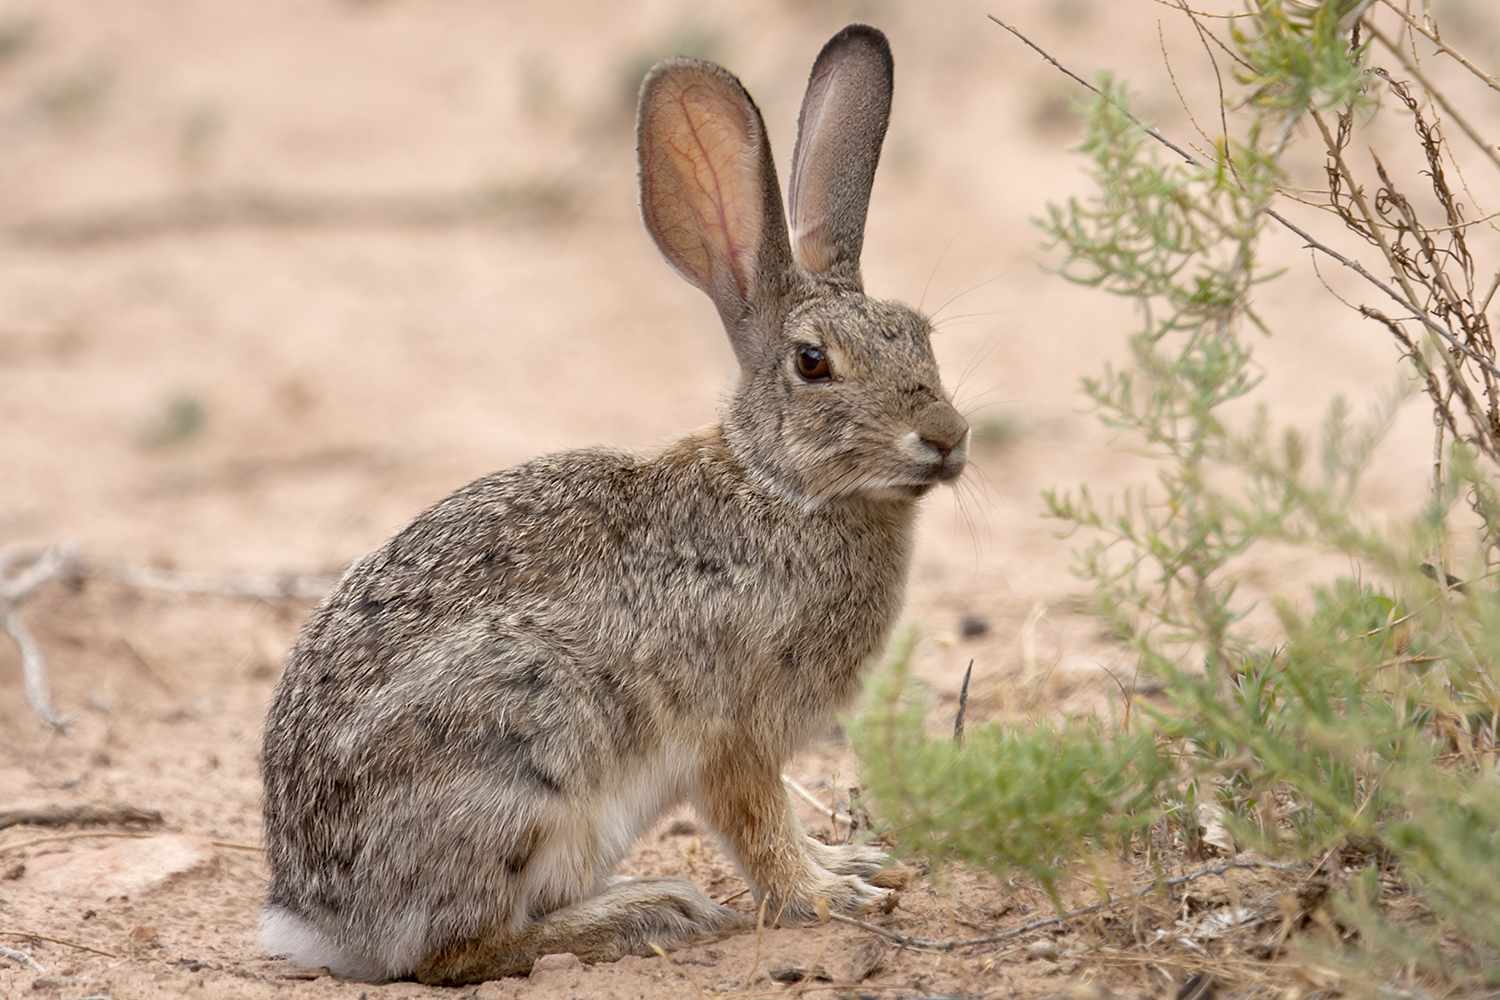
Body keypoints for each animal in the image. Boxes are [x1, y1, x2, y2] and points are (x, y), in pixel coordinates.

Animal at [258, 22, 969, 986]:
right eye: (813, 363)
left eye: (920, 337)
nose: (948, 435)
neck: (778, 486)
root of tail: (319, 918)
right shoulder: (735, 732)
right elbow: (758, 828)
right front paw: (828, 895)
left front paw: (851, 862)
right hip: (528, 764)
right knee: (461, 950)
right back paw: (648, 911)